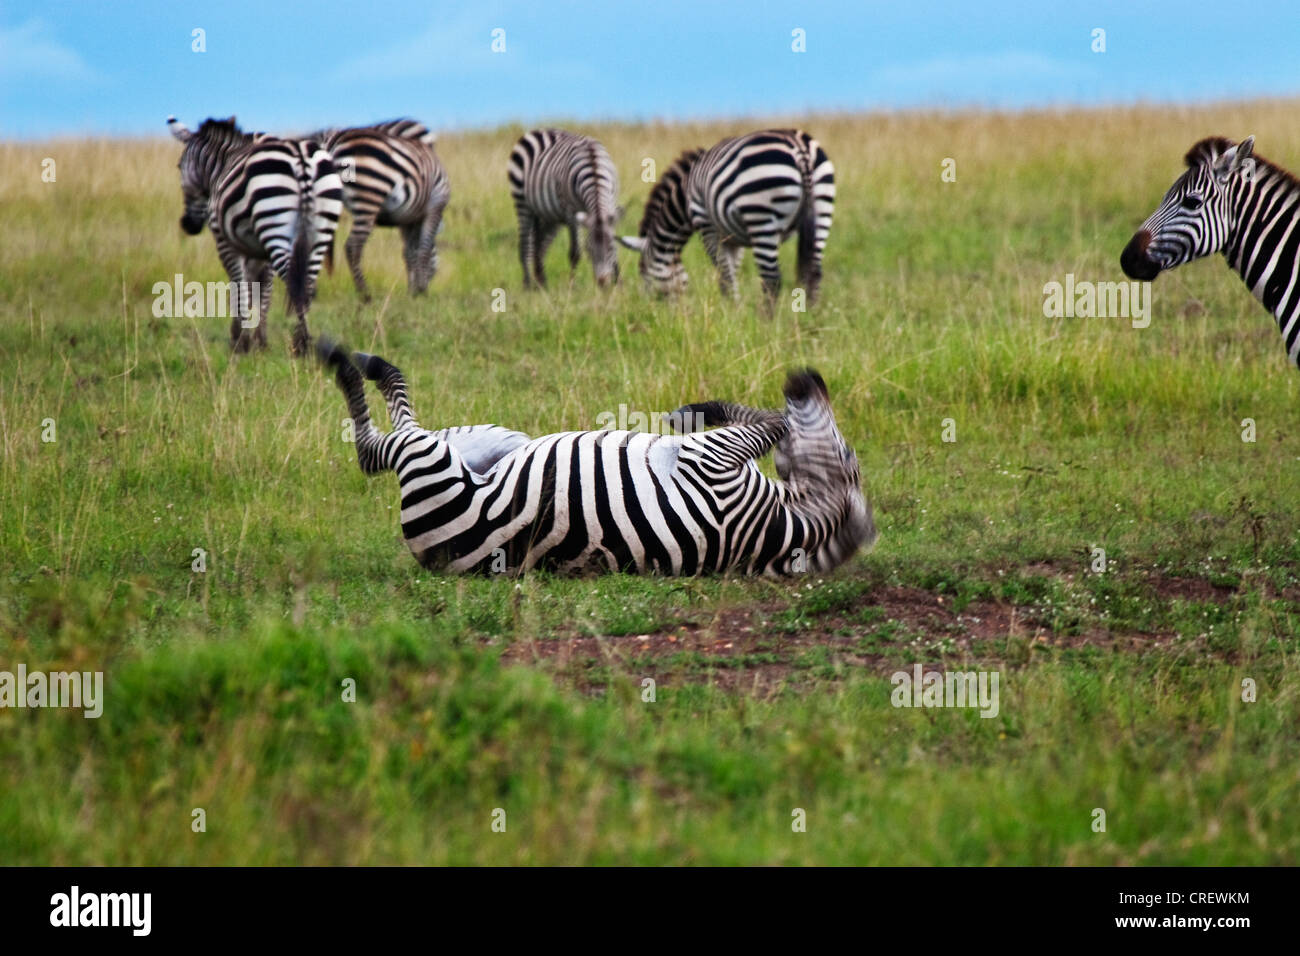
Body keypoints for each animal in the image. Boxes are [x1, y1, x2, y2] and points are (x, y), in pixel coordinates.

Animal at [168, 115, 343, 355]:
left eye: (179, 166)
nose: (187, 225)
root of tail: (302, 159)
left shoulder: (226, 243)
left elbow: (238, 284)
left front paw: (240, 340)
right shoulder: (259, 250)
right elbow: (261, 289)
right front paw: (259, 340)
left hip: (275, 220)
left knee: (294, 284)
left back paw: (302, 344)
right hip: (319, 230)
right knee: (307, 284)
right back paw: (301, 343)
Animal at [310, 119, 451, 300]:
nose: (428, 283)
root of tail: (330, 144)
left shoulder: (408, 218)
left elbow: (409, 252)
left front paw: (412, 291)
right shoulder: (435, 204)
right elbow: (424, 248)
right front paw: (420, 290)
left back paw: (310, 292)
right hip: (369, 196)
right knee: (352, 246)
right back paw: (364, 293)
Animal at [318, 340, 874, 576]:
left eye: (846, 451)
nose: (808, 377)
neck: (781, 528)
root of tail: (430, 559)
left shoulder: (715, 462)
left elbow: (776, 425)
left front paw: (697, 412)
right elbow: (772, 422)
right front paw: (694, 410)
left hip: (434, 462)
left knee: (375, 449)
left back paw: (348, 360)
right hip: (492, 440)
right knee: (390, 436)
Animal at [508, 129, 623, 288]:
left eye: (611, 248)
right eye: (589, 250)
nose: (602, 282)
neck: (594, 169)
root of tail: (537, 131)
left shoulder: (611, 206)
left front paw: (618, 282)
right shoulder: (571, 214)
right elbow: (575, 253)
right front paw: (571, 286)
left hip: (550, 214)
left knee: (540, 243)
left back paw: (541, 281)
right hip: (522, 202)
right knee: (525, 245)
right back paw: (528, 285)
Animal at [617, 129, 835, 307]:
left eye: (644, 276)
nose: (658, 313)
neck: (684, 198)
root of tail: (801, 150)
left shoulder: (707, 226)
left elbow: (725, 276)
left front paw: (731, 313)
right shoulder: (733, 237)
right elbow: (733, 271)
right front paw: (734, 310)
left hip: (761, 216)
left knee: (772, 279)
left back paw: (767, 325)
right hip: (822, 209)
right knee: (814, 272)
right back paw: (811, 320)